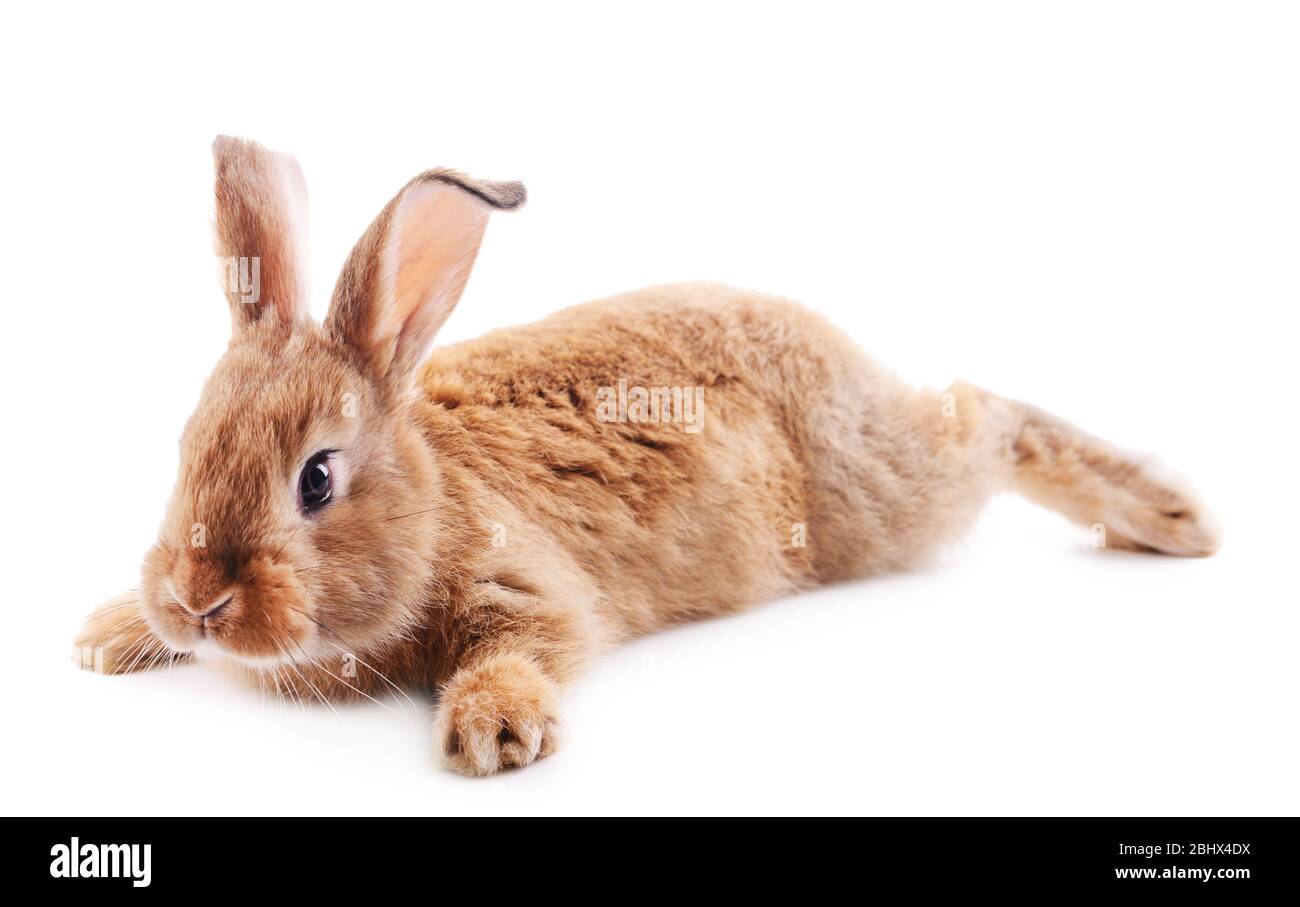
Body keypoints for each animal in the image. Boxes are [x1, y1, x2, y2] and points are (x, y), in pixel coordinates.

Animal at [74, 136, 1221, 775]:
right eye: (186, 444)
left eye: (315, 479)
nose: (197, 601)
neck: (434, 495)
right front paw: (106, 636)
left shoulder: (526, 586)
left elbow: (522, 648)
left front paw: (495, 733)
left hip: (885, 493)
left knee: (985, 413)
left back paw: (1172, 517)